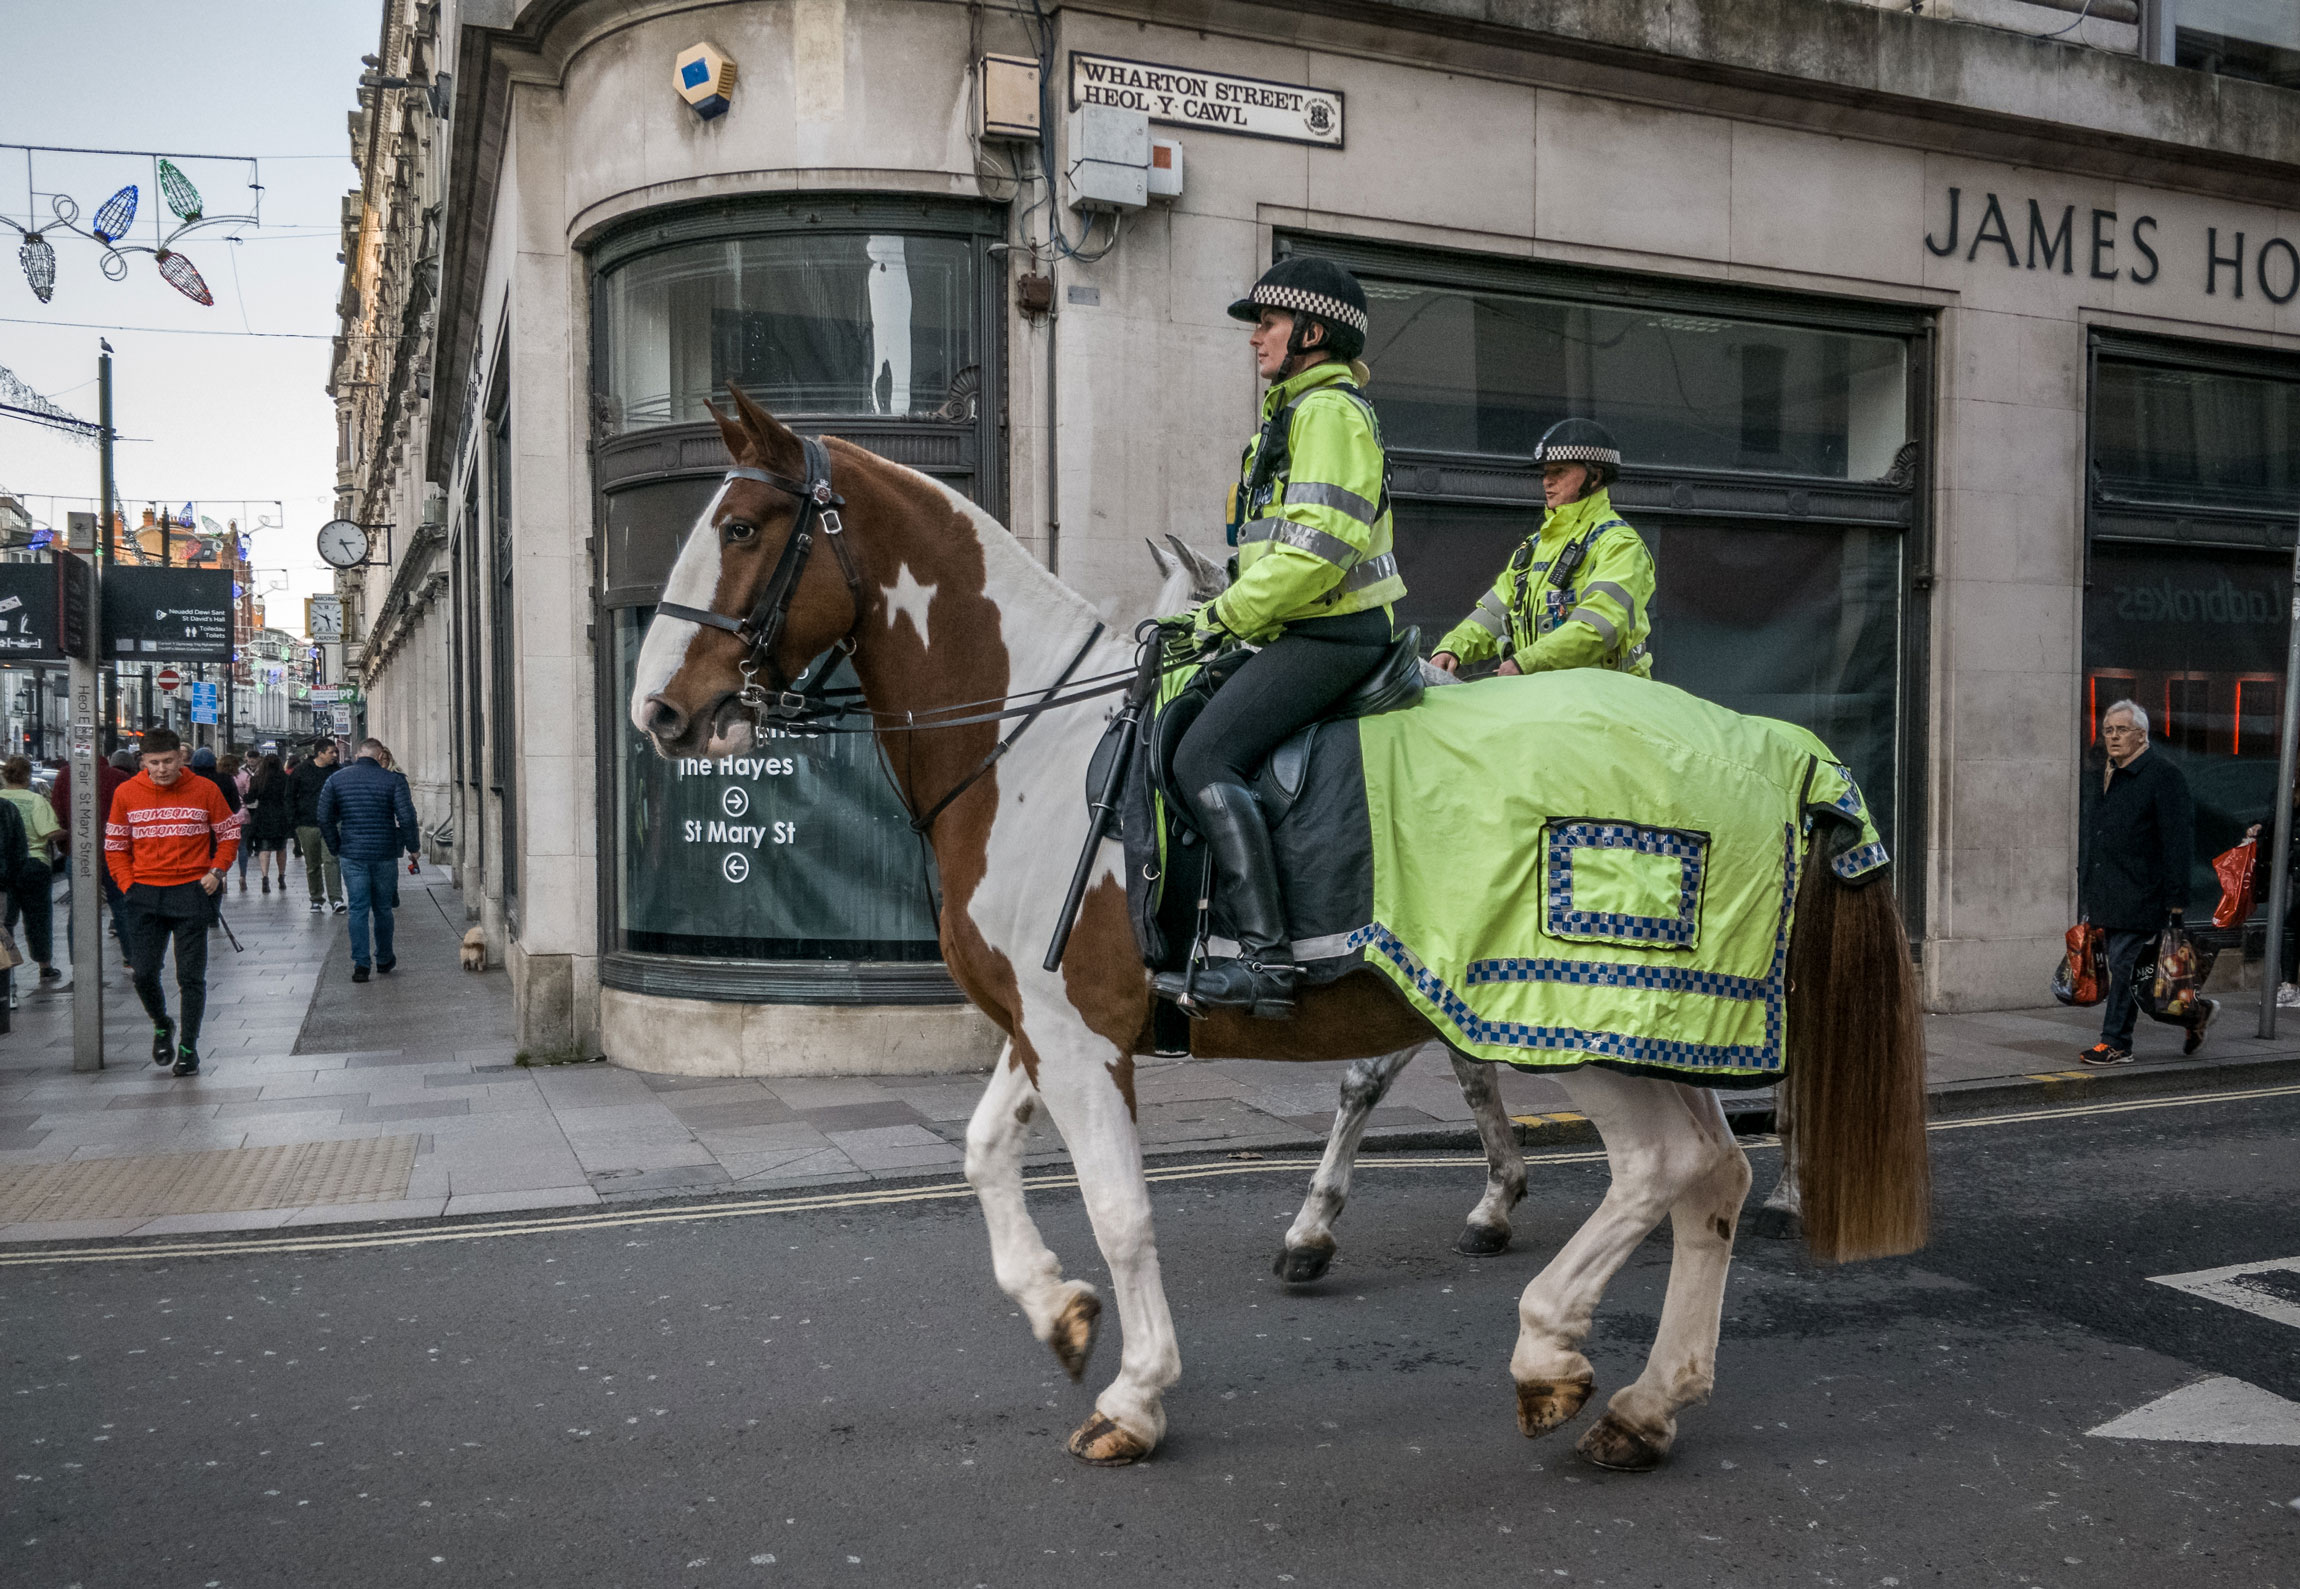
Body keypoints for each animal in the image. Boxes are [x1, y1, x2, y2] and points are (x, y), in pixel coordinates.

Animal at [629, 389, 1930, 1471]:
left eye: (740, 527)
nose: (659, 712)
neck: (1027, 746)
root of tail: (1765, 741)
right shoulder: (1044, 1021)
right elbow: (983, 1152)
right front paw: (1059, 1311)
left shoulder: (1081, 1036)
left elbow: (1120, 1210)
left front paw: (1135, 1392)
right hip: (1660, 1021)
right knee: (1710, 1171)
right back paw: (1647, 1402)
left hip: (1573, 1019)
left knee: (1659, 1165)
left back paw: (1549, 1348)